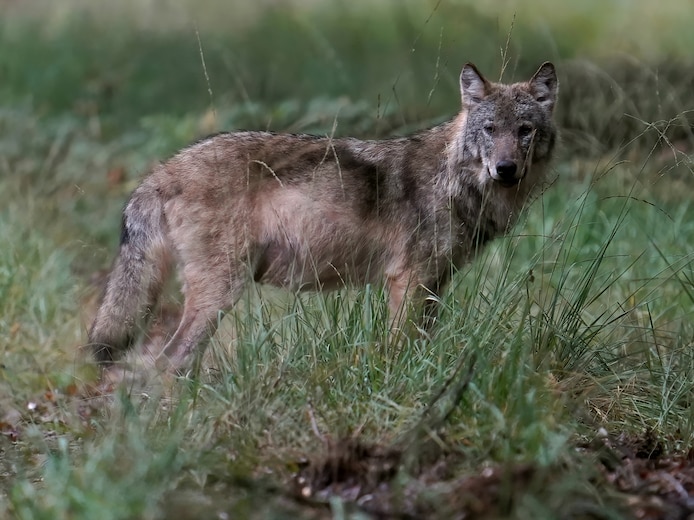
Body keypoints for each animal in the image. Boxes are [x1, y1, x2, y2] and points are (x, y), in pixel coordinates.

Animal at [88, 62, 558, 373]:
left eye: (524, 131)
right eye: (490, 130)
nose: (506, 169)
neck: (454, 180)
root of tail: (162, 170)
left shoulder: (434, 284)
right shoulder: (408, 280)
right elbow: (399, 349)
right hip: (220, 293)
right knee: (169, 361)